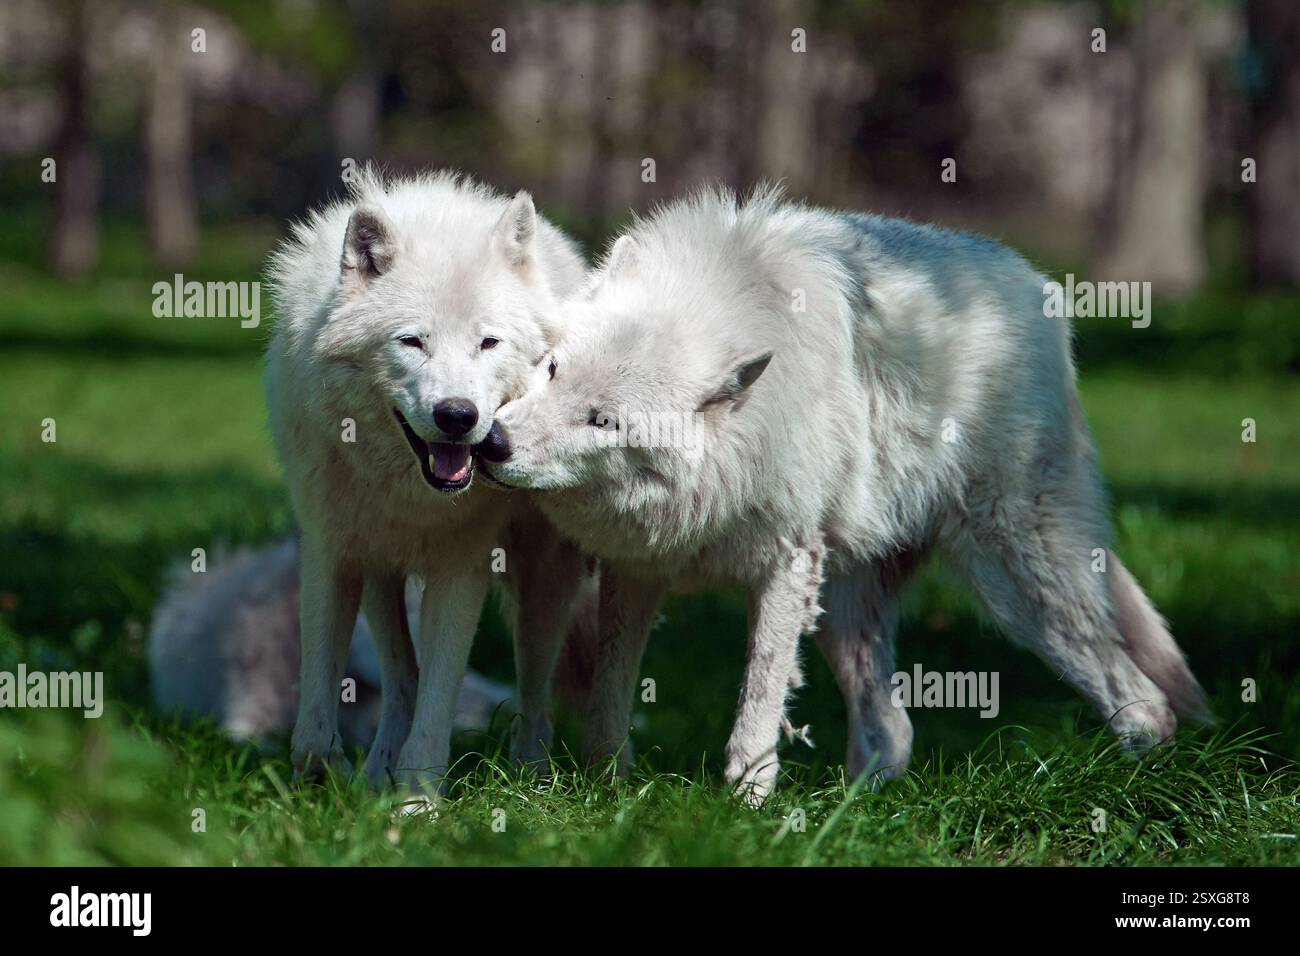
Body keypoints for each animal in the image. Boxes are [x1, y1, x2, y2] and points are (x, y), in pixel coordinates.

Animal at [266, 168, 595, 793]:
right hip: (380, 573)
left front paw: (416, 799)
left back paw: (532, 773)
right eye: (412, 341)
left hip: (542, 581)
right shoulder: (331, 552)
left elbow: (440, 700)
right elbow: (315, 717)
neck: (412, 492)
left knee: (535, 690)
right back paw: (376, 771)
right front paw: (326, 779)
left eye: (488, 342)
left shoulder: (460, 567)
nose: (458, 415)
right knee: (401, 678)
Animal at [483, 186, 1208, 799]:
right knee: (895, 727)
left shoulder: (784, 566)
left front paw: (746, 805)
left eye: (603, 421)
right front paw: (607, 787)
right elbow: (610, 692)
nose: (493, 444)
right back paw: (857, 811)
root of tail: (1040, 291)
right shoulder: (638, 568)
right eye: (552, 369)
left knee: (1143, 698)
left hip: (1017, 584)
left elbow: (760, 696)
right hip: (845, 611)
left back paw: (1134, 788)